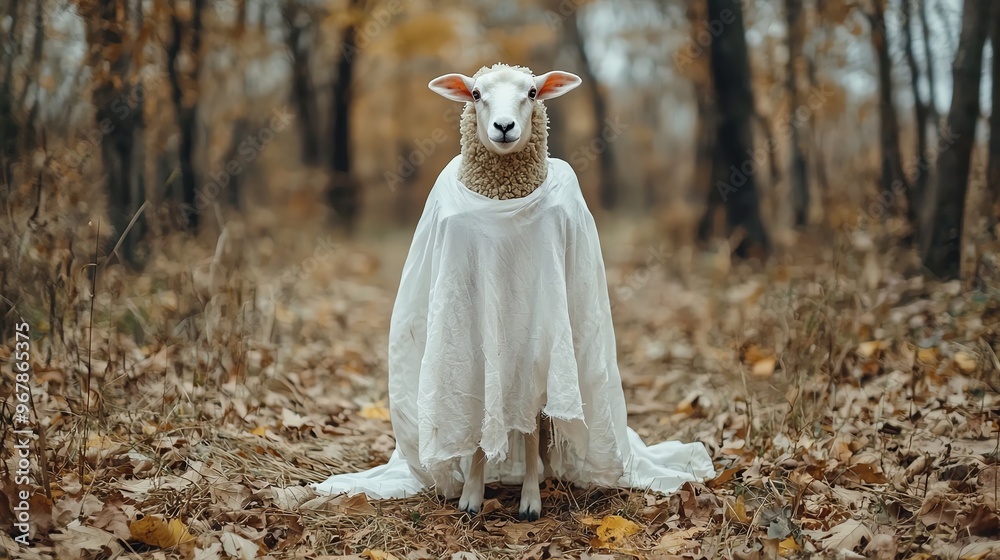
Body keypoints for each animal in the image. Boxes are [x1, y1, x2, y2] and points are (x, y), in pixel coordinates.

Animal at [426, 64, 581, 520]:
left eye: (532, 92)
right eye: (476, 94)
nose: (504, 127)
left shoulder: (529, 352)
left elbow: (528, 429)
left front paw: (530, 499)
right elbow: (482, 422)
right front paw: (471, 496)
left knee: (538, 426)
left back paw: (545, 474)